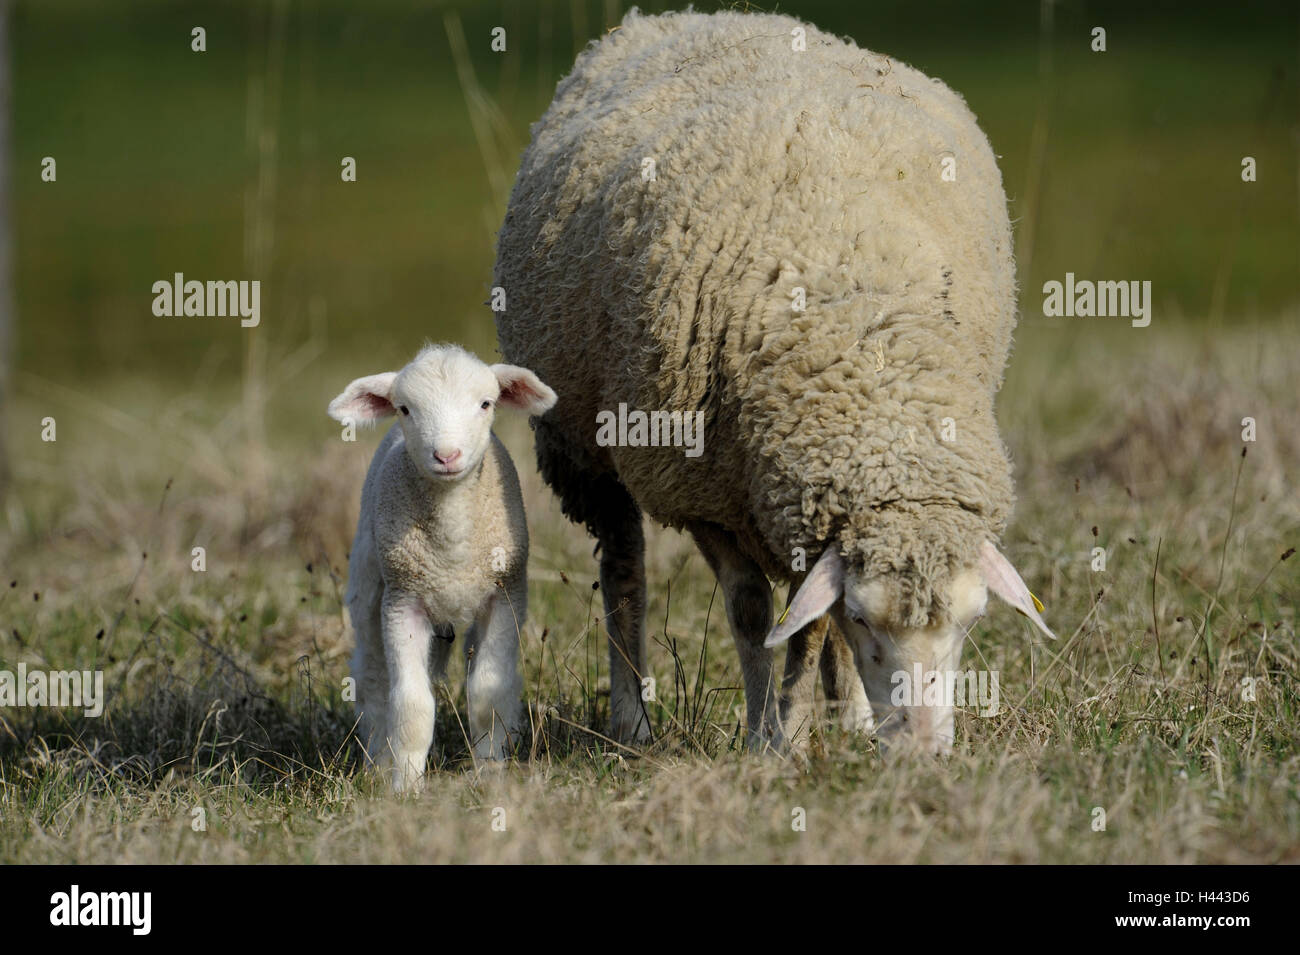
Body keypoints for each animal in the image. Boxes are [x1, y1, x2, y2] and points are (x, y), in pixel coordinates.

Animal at [328, 344, 556, 790]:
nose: (446, 456)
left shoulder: (504, 596)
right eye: (404, 408)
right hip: (369, 586)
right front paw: (406, 786)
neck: (452, 547)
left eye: (486, 404)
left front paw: (491, 769)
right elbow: (412, 704)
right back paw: (378, 762)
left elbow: (487, 692)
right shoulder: (403, 602)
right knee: (374, 677)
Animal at [493, 9, 1055, 754]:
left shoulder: (806, 508)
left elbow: (810, 625)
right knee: (624, 569)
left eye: (970, 622)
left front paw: (812, 723)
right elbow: (755, 609)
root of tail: (681, 17)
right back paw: (632, 721)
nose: (921, 751)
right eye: (868, 619)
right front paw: (771, 740)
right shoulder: (701, 488)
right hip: (585, 443)